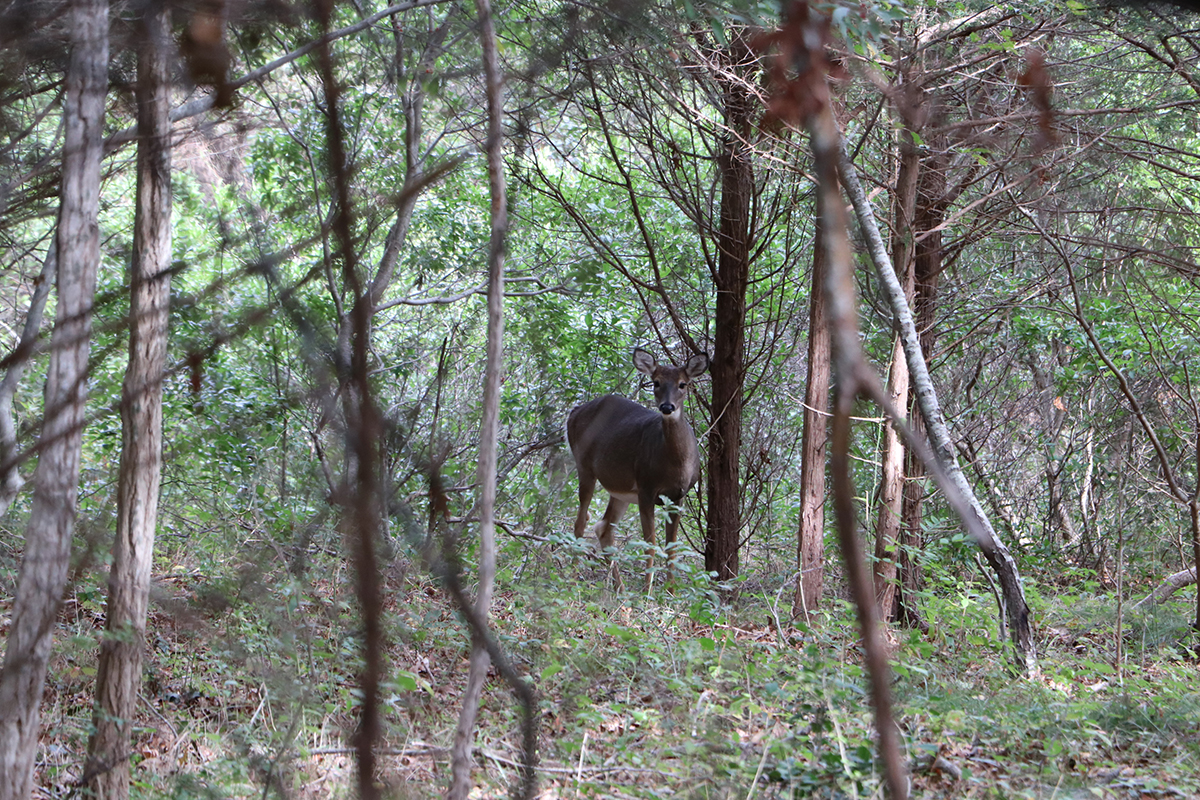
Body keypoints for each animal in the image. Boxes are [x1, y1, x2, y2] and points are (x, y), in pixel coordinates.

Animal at [566, 347, 709, 583]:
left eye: (682, 384)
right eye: (656, 382)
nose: (667, 407)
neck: (676, 464)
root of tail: (574, 411)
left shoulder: (678, 495)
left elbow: (672, 549)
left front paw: (670, 590)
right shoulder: (646, 488)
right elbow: (650, 546)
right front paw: (647, 589)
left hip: (620, 489)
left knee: (603, 528)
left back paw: (619, 588)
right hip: (584, 466)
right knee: (580, 523)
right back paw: (573, 577)